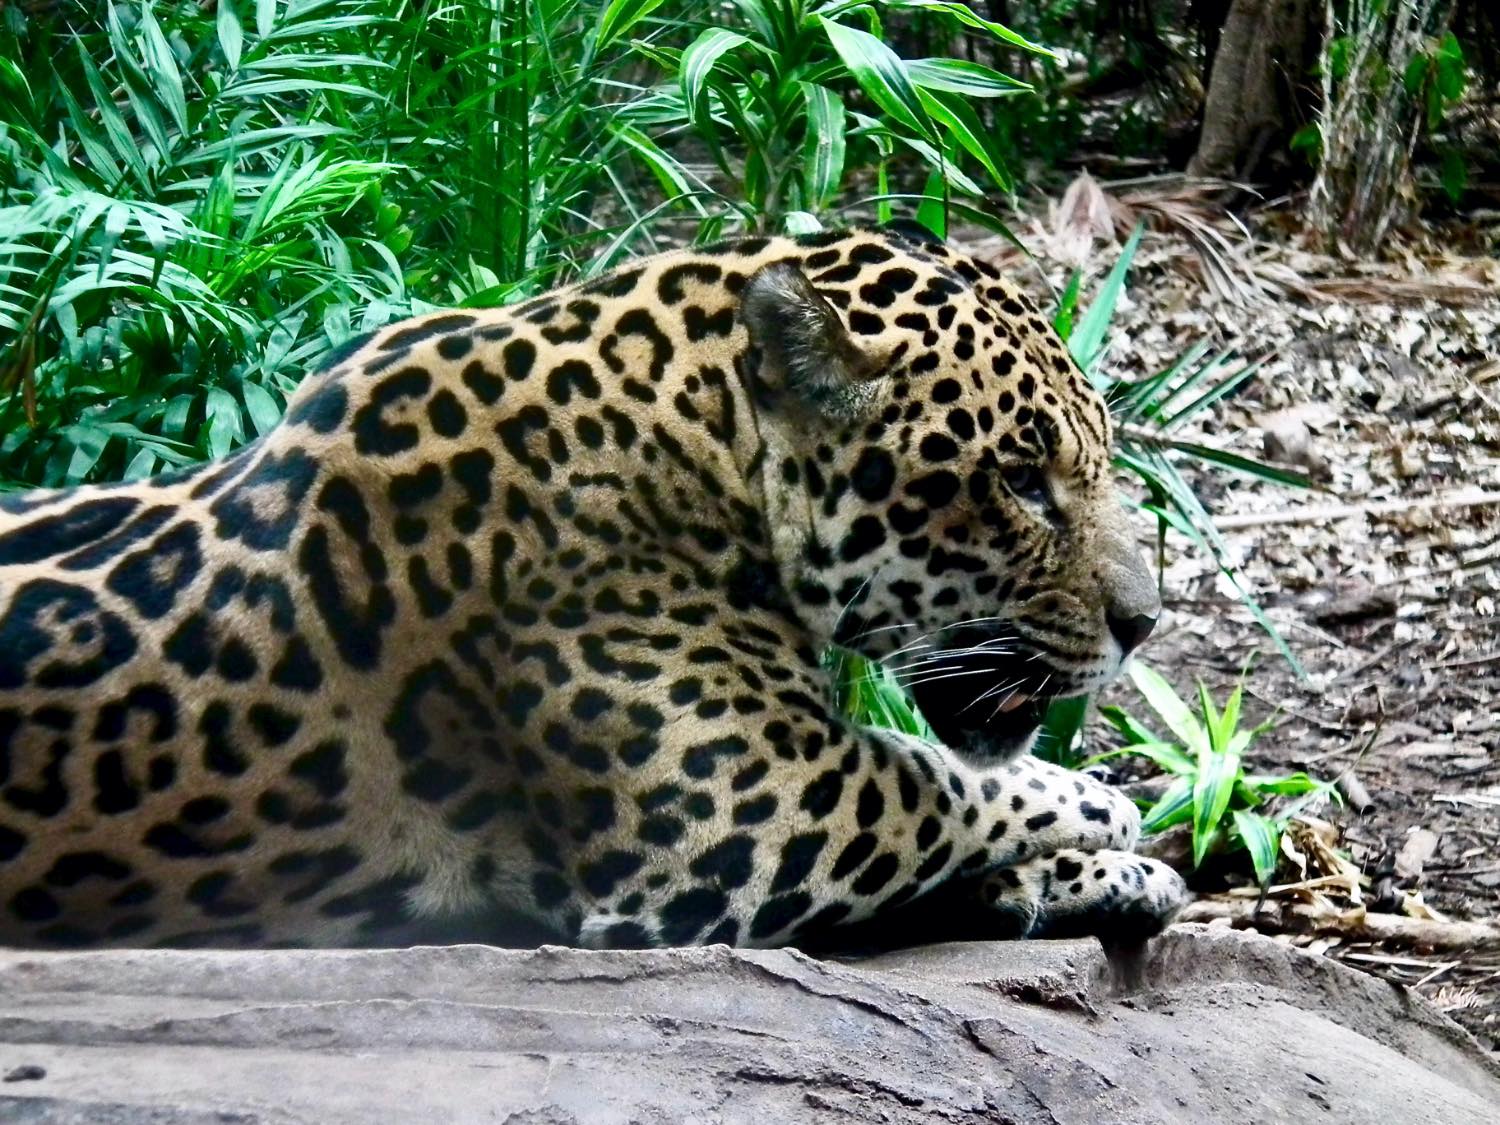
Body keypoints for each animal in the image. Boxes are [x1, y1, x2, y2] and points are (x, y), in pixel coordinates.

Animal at [0, 225, 1186, 951]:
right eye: (1021, 480)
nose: (1144, 623)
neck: (700, 441)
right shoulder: (745, 808)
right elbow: (933, 781)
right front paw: (1104, 809)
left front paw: (1104, 873)